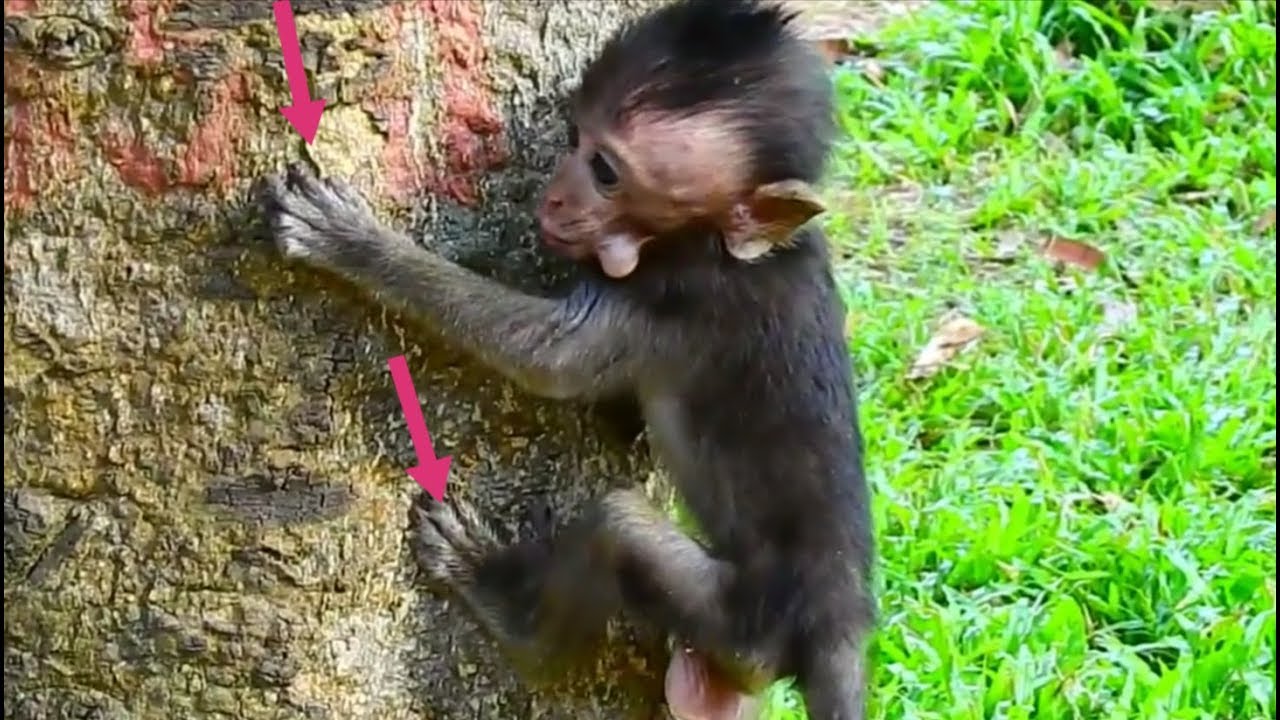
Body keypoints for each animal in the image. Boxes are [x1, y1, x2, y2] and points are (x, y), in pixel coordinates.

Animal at [255, 1, 875, 718]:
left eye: (605, 171)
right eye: (575, 137)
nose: (553, 198)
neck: (727, 245)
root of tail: (840, 620)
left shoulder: (671, 300)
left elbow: (546, 360)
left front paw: (352, 242)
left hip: (744, 628)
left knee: (617, 529)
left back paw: (512, 616)